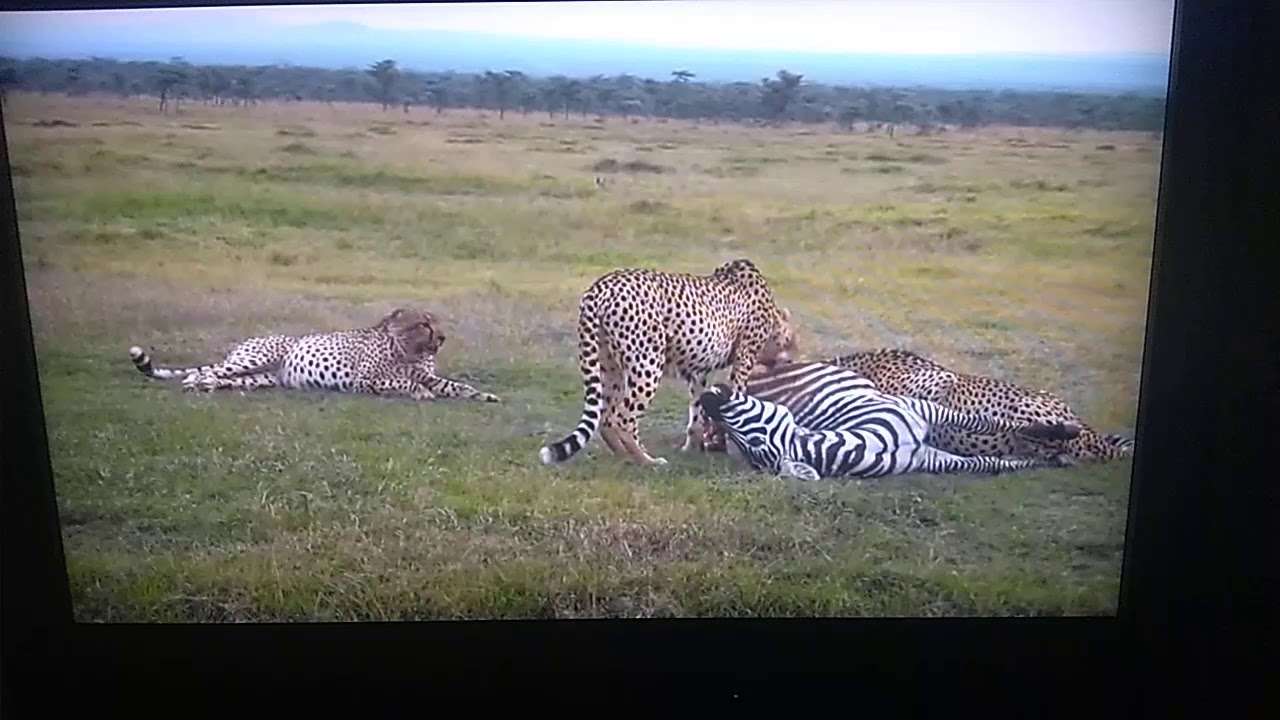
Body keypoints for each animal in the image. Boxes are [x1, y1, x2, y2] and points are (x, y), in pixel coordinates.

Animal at [128, 307, 501, 402]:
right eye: (424, 323)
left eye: (437, 322)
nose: (443, 337)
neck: (407, 349)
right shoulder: (365, 381)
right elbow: (405, 384)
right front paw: (421, 393)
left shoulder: (431, 375)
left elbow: (455, 386)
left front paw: (484, 395)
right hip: (249, 360)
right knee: (203, 372)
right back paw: (194, 384)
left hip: (257, 378)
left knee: (221, 379)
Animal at [539, 258, 799, 468]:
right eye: (793, 341)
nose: (795, 357)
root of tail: (601, 286)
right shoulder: (742, 362)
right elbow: (732, 405)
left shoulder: (698, 372)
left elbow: (698, 412)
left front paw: (692, 447)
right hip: (648, 364)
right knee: (621, 418)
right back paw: (646, 461)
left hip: (609, 367)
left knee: (605, 417)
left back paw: (625, 457)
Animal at [696, 364, 1079, 481]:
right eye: (753, 442)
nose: (707, 399)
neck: (878, 446)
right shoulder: (930, 458)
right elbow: (986, 463)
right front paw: (1045, 458)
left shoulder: (921, 409)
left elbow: (985, 422)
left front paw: (1057, 433)